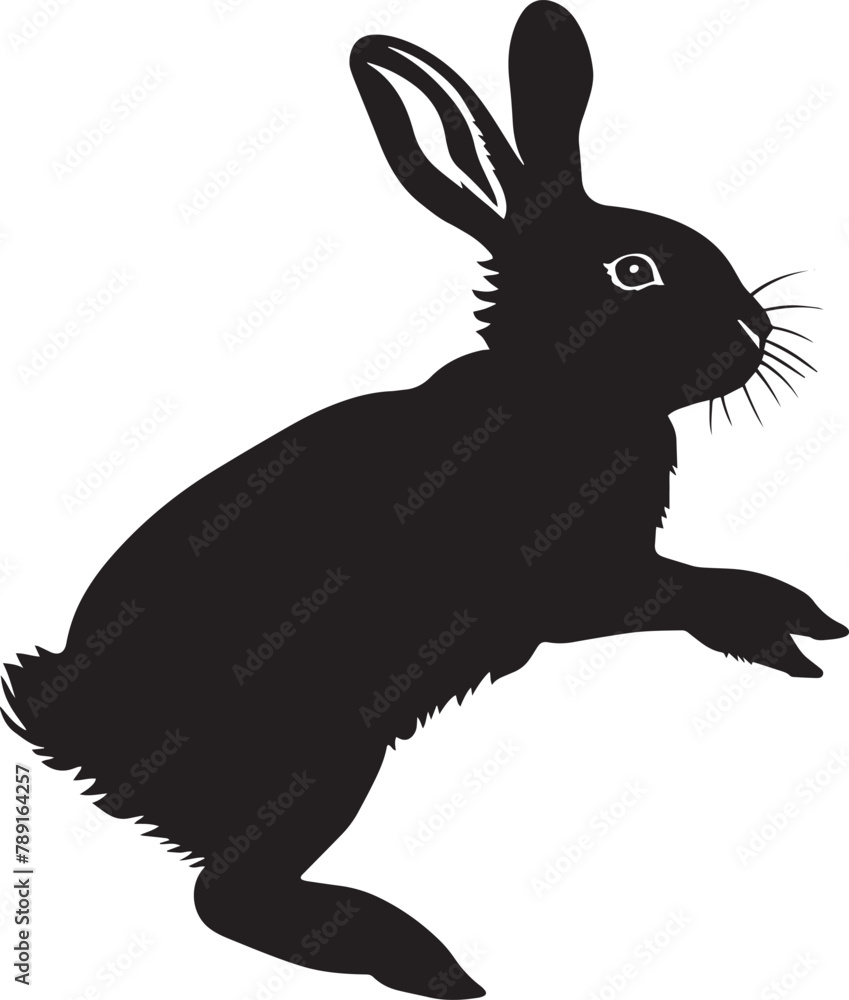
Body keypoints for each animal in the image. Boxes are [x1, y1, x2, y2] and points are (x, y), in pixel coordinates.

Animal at [3, 2, 846, 997]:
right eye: (633, 270)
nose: (753, 330)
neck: (562, 391)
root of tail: (64, 721)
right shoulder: (573, 584)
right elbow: (686, 585)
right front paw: (789, 625)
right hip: (319, 758)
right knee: (226, 896)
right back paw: (418, 957)